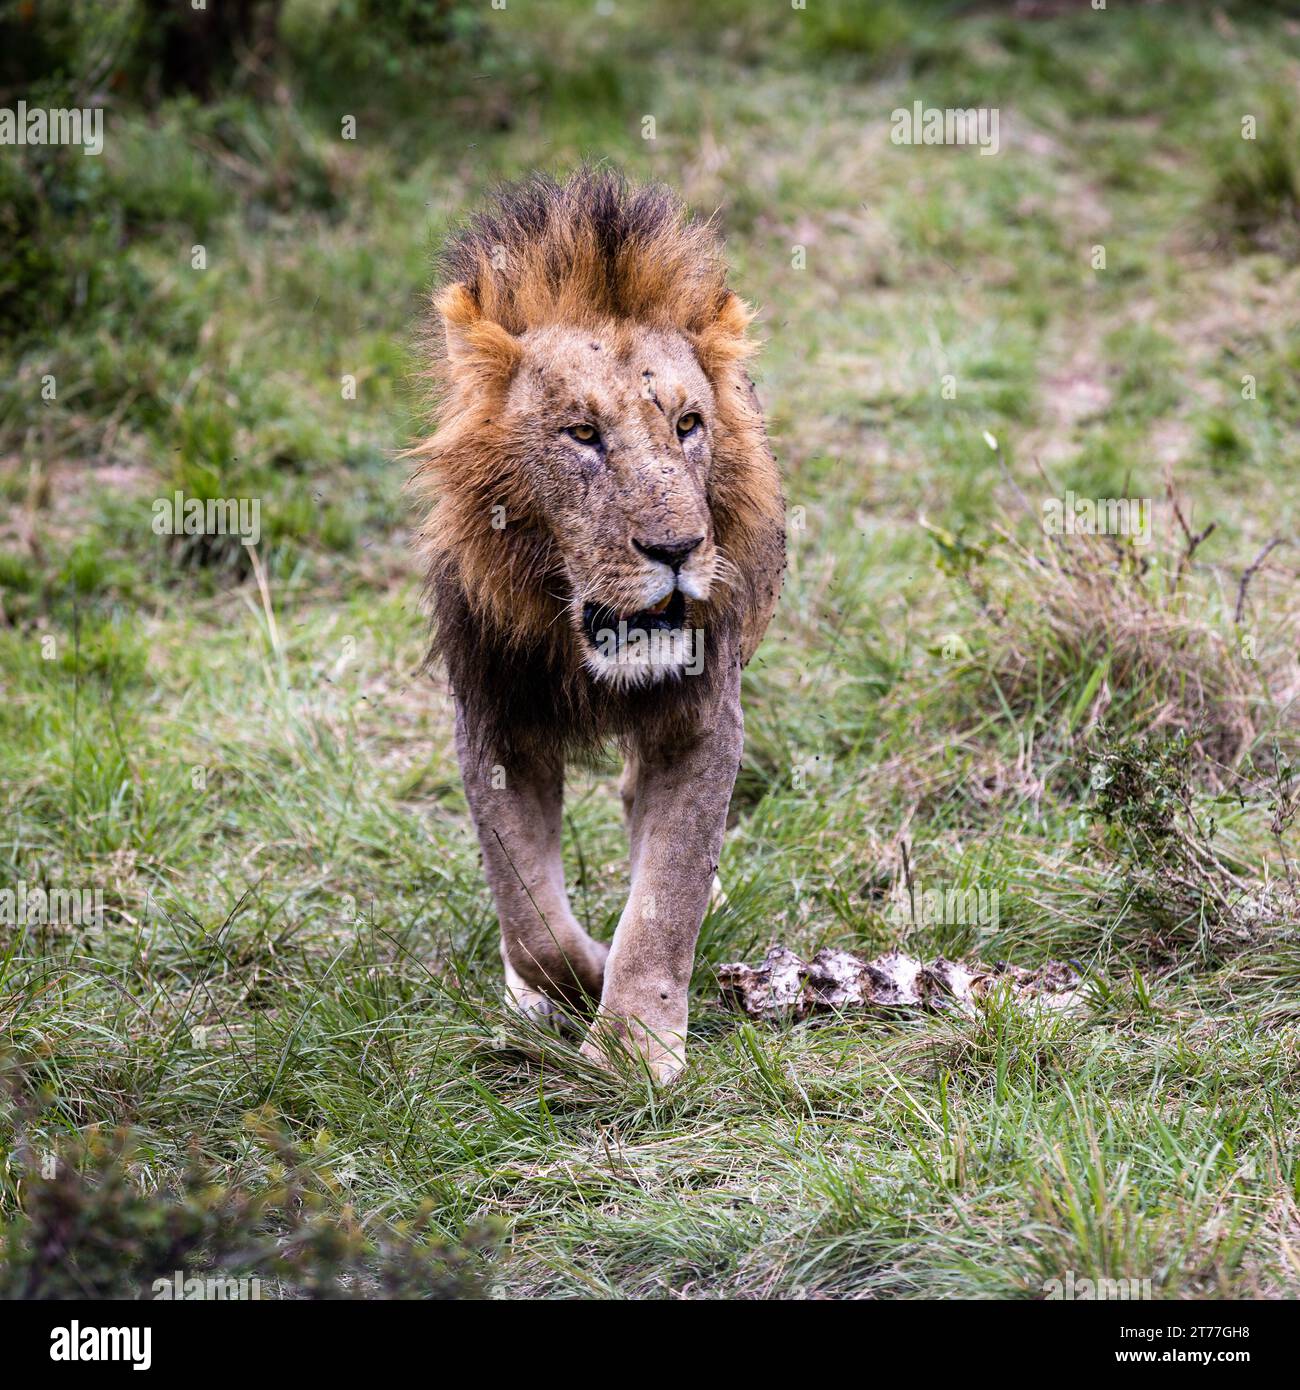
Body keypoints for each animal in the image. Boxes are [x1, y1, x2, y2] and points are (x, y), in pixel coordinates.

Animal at [408, 169, 784, 1082]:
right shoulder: (496, 727)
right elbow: (529, 917)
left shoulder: (701, 721)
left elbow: (664, 900)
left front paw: (631, 1047)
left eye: (688, 425)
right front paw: (571, 980)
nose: (677, 549)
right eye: (583, 434)